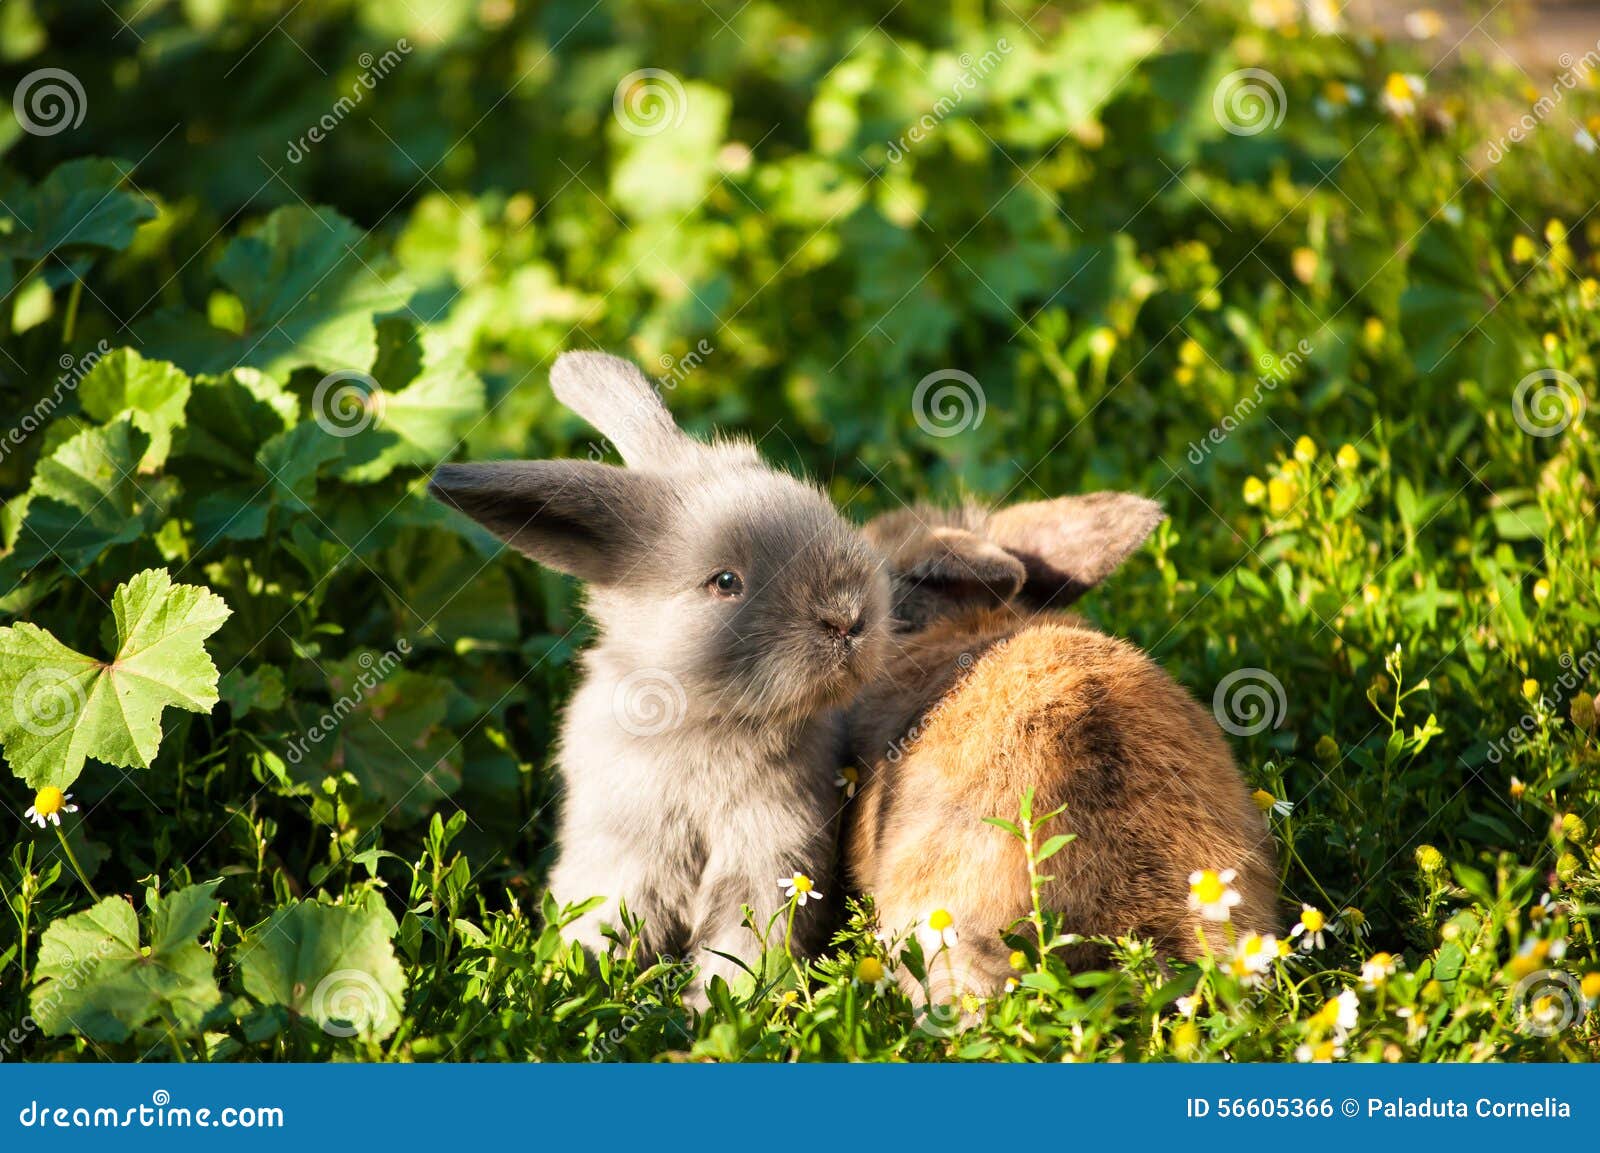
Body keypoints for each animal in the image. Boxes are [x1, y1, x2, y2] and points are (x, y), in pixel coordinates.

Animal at [428, 351, 889, 1004]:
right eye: (725, 582)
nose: (849, 616)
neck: (705, 721)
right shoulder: (625, 859)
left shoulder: (767, 863)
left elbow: (741, 951)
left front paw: (719, 1009)